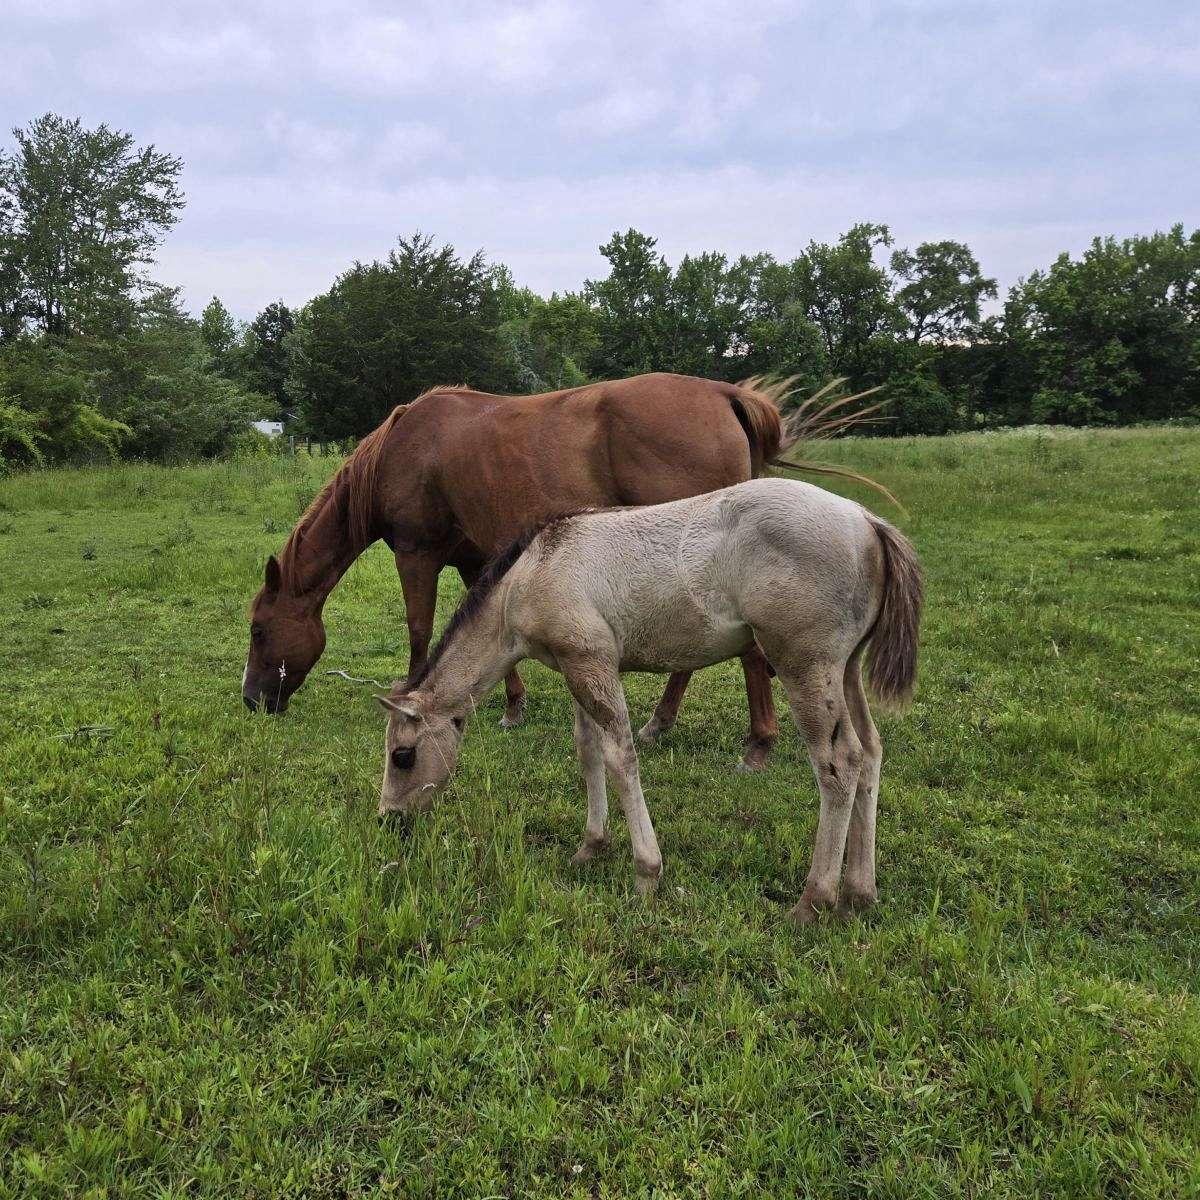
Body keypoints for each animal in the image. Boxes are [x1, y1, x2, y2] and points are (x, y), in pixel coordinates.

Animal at [243, 372, 879, 770]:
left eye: (258, 629)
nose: (253, 701)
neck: (404, 449)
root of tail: (723, 393)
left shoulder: (416, 553)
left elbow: (420, 630)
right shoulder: (478, 558)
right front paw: (511, 707)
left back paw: (757, 743)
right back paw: (661, 723)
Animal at [375, 476, 923, 924]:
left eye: (403, 755)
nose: (389, 819)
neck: (531, 576)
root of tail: (867, 521)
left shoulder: (591, 663)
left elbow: (621, 757)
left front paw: (646, 874)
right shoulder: (577, 666)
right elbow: (589, 751)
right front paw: (591, 846)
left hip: (805, 666)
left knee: (838, 764)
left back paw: (814, 901)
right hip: (845, 670)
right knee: (870, 752)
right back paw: (859, 894)